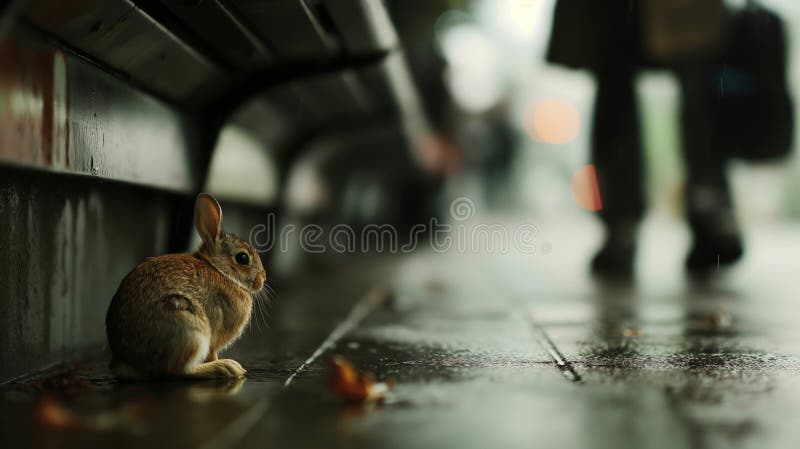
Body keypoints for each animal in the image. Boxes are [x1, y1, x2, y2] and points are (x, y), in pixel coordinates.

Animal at [105, 193, 266, 379]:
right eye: (242, 258)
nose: (263, 278)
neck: (219, 270)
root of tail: (127, 363)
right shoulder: (213, 337)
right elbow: (212, 353)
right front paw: (221, 363)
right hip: (189, 327)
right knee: (178, 370)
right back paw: (226, 367)